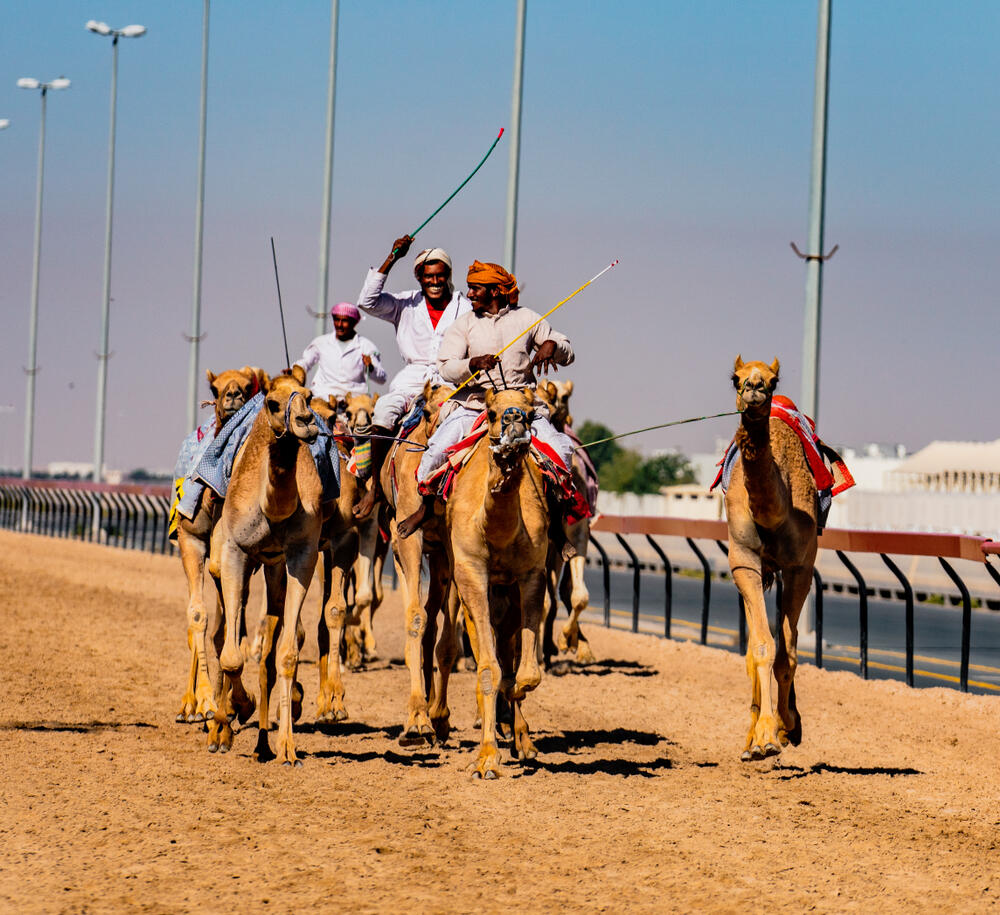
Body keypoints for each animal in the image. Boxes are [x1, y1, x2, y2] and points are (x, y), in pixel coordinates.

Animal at [175, 365, 267, 724]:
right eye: (214, 389)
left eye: (247, 385)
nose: (233, 395)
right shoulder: (190, 540)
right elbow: (197, 616)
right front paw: (201, 703)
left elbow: (231, 623)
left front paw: (232, 702)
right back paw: (192, 705)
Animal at [209, 366, 348, 765]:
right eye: (272, 402)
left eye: (308, 394)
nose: (305, 422)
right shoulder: (235, 551)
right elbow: (232, 656)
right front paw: (236, 710)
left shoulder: (302, 554)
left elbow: (286, 654)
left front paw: (287, 746)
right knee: (225, 636)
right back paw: (221, 728)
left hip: (278, 567)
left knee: (270, 652)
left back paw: (264, 741)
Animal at [446, 387, 549, 778]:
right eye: (490, 413)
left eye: (532, 413)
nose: (514, 419)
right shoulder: (471, 571)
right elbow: (489, 669)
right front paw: (487, 759)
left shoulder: (533, 573)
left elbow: (525, 673)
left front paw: (519, 731)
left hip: (508, 598)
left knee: (510, 649)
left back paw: (522, 739)